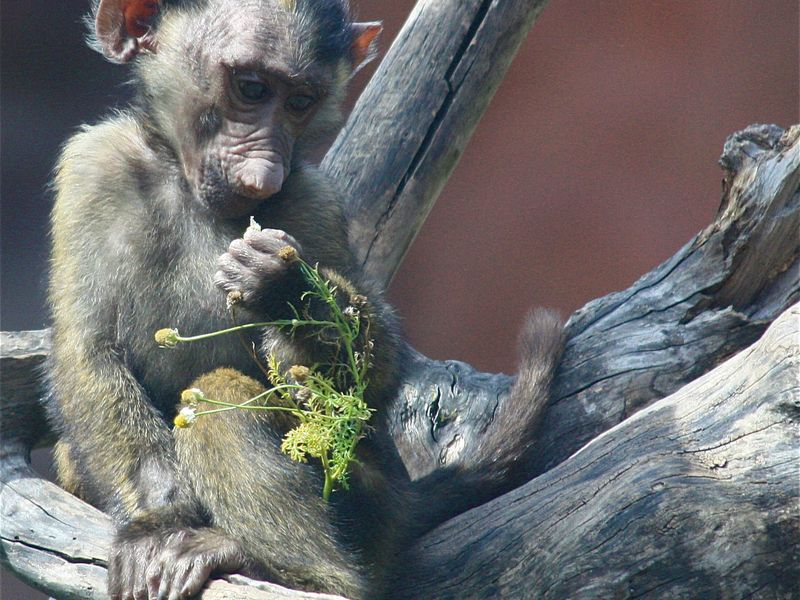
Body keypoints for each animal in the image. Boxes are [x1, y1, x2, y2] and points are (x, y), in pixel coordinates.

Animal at [45, 1, 564, 599]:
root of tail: (400, 502)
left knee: (217, 399)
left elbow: (368, 384)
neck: (185, 186)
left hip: (361, 498)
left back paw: (283, 565)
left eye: (299, 101)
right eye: (251, 89)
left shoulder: (314, 200)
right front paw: (160, 522)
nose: (263, 175)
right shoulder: (93, 168)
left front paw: (286, 288)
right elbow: (88, 351)